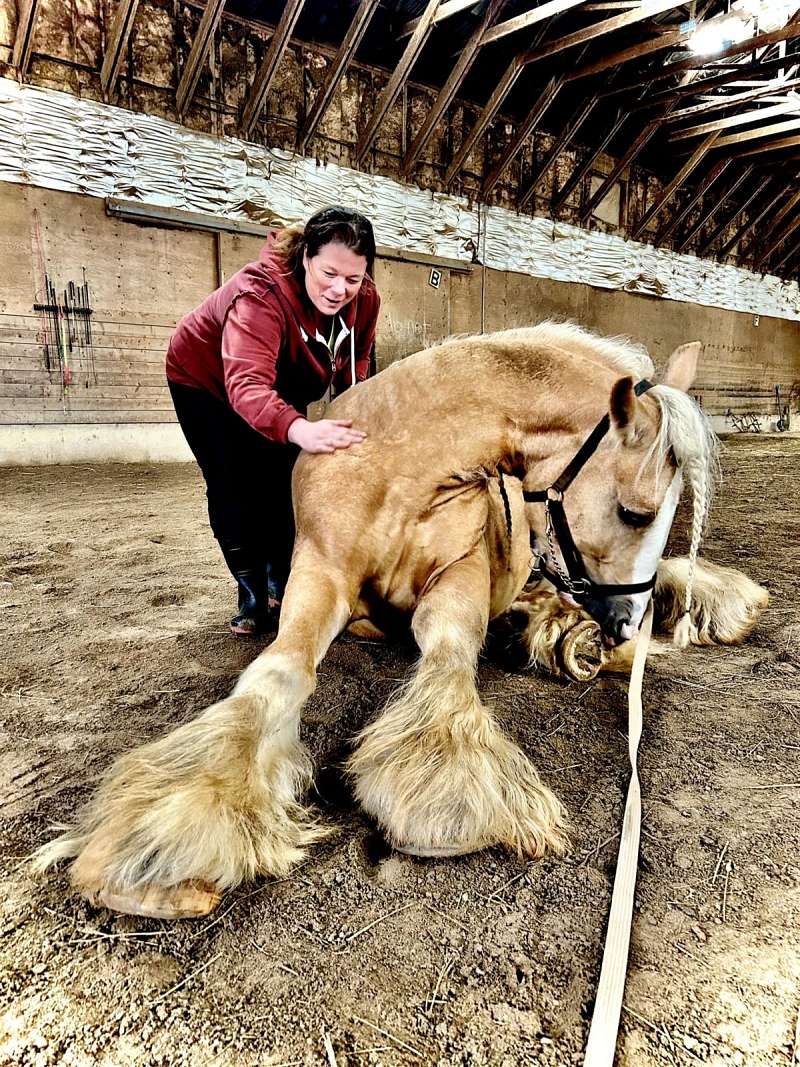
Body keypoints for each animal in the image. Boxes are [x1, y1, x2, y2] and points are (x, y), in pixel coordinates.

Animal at [35, 322, 767, 919]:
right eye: (633, 510)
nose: (624, 625)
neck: (398, 473)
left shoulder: (461, 576)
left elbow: (447, 653)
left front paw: (446, 792)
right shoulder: (320, 573)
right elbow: (279, 672)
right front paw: (170, 832)